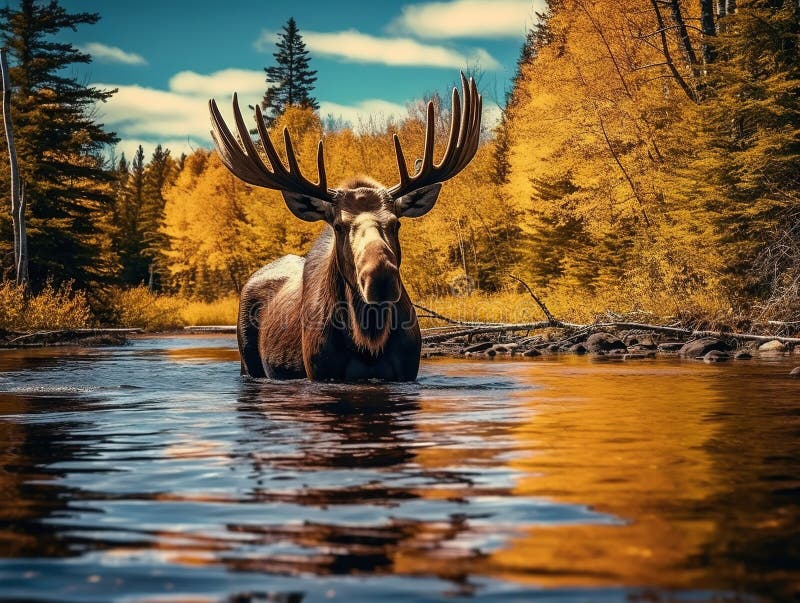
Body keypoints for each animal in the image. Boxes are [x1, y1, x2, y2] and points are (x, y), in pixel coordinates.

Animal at [208, 74, 481, 381]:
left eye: (396, 223)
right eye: (338, 226)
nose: (381, 277)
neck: (369, 342)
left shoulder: (407, 372)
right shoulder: (319, 370)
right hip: (247, 362)